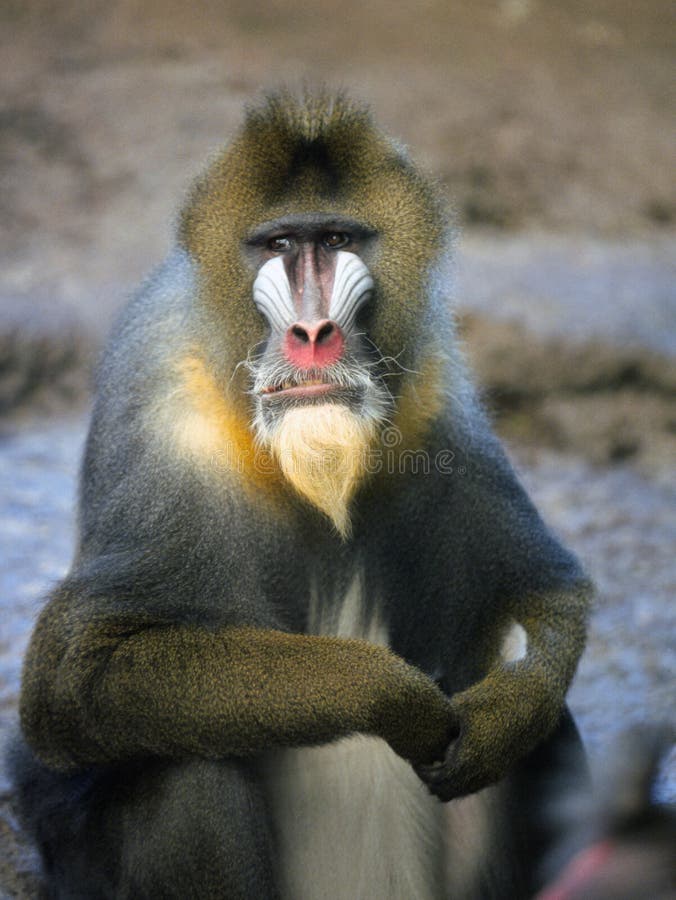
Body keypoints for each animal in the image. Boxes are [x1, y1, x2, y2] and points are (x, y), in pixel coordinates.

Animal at [9, 90, 592, 899]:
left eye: (337, 239)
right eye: (281, 245)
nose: (313, 332)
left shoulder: (434, 392)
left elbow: (539, 591)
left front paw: (509, 706)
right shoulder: (162, 423)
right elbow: (77, 675)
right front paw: (393, 695)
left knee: (549, 734)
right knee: (187, 771)